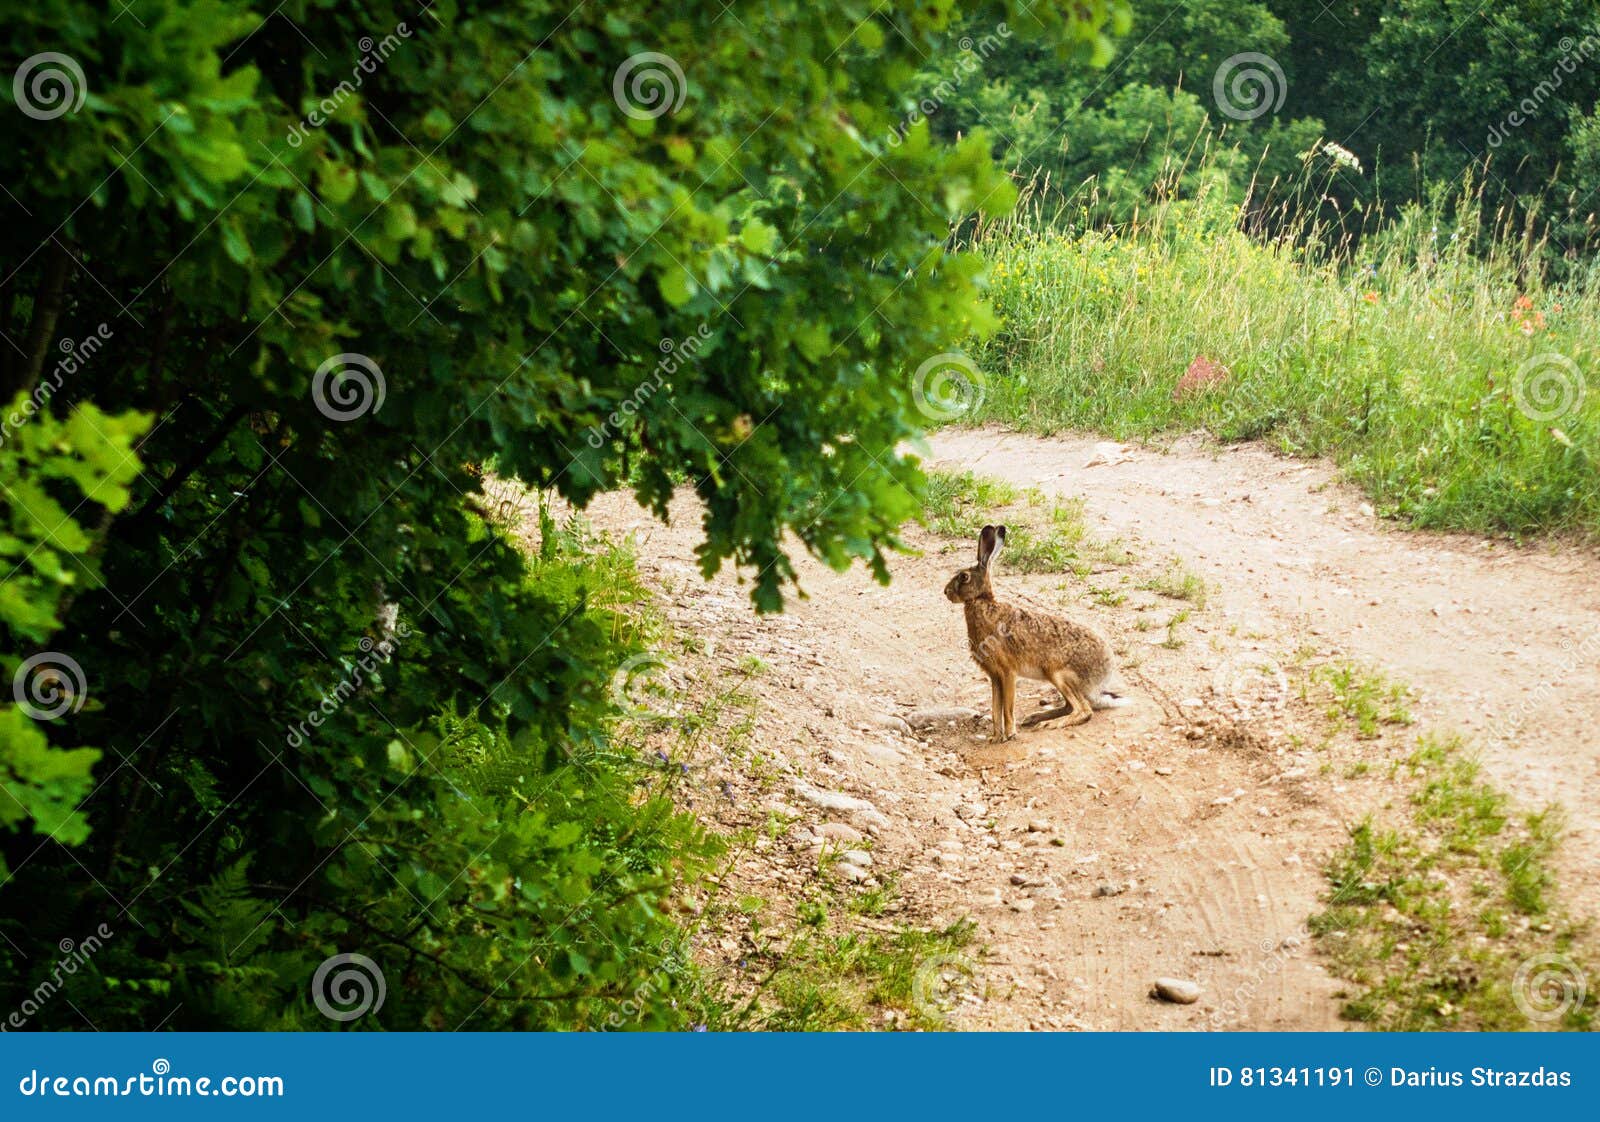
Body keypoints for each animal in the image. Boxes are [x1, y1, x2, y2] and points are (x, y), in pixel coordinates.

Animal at [944, 524, 1128, 742]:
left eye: (964, 577)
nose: (946, 592)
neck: (983, 601)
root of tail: (1103, 676)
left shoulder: (1007, 672)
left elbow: (1007, 707)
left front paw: (1011, 734)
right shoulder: (994, 675)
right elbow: (995, 708)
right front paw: (995, 738)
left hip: (1059, 673)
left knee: (1083, 710)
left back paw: (1048, 723)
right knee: (1070, 706)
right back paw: (1035, 718)